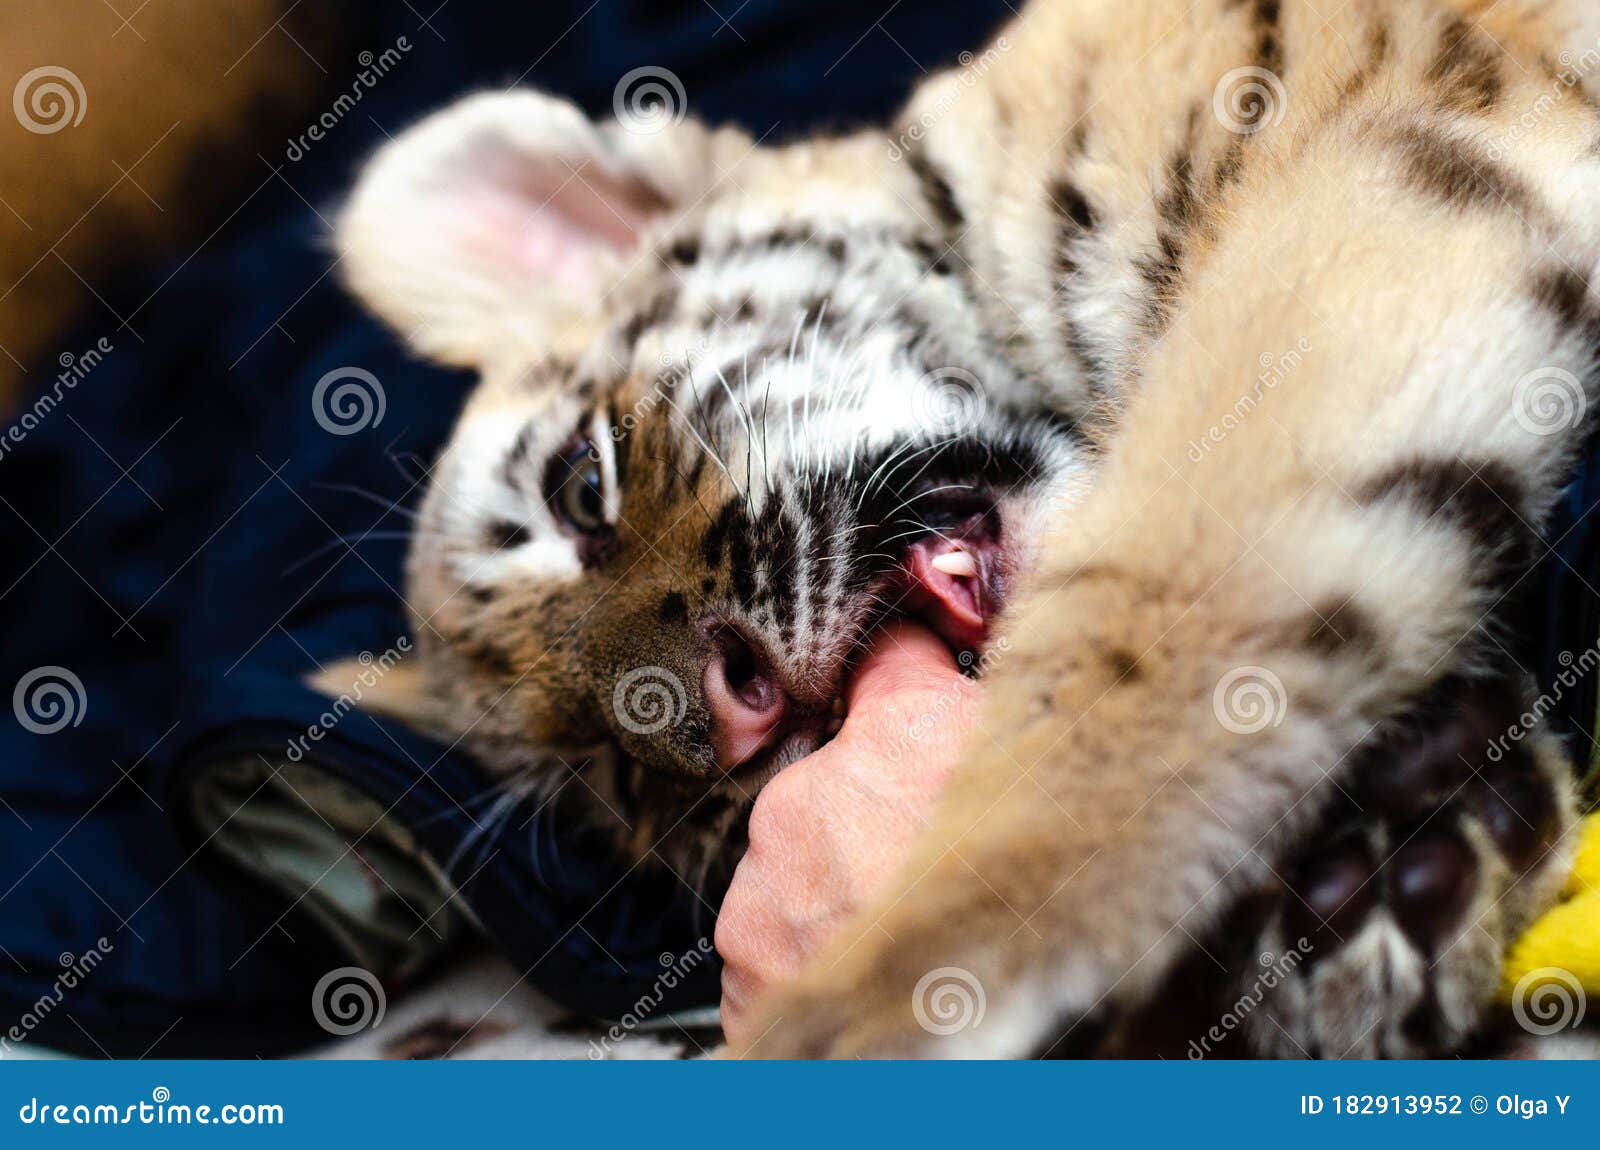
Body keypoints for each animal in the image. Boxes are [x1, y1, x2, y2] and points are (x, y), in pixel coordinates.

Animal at [331, 0, 1600, 1057]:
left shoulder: (1361, 221)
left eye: (581, 488)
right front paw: (1404, 882)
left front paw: (868, 1003)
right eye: (621, 785)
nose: (722, 729)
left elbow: (1121, 667)